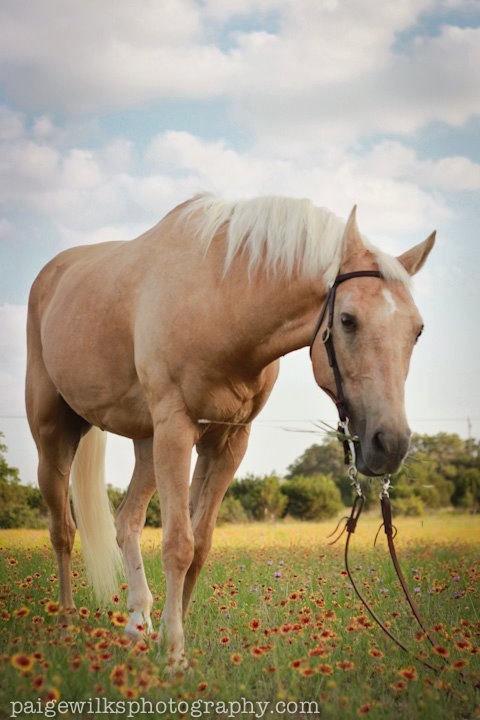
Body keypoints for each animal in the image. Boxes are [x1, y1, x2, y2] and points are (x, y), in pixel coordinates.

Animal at [25, 193, 435, 666]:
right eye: (348, 320)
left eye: (417, 331)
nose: (390, 444)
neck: (219, 302)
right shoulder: (177, 429)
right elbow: (178, 544)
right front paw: (174, 654)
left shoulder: (227, 441)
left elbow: (200, 545)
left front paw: (173, 640)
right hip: (54, 435)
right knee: (62, 531)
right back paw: (66, 625)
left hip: (147, 443)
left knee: (127, 521)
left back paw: (138, 624)